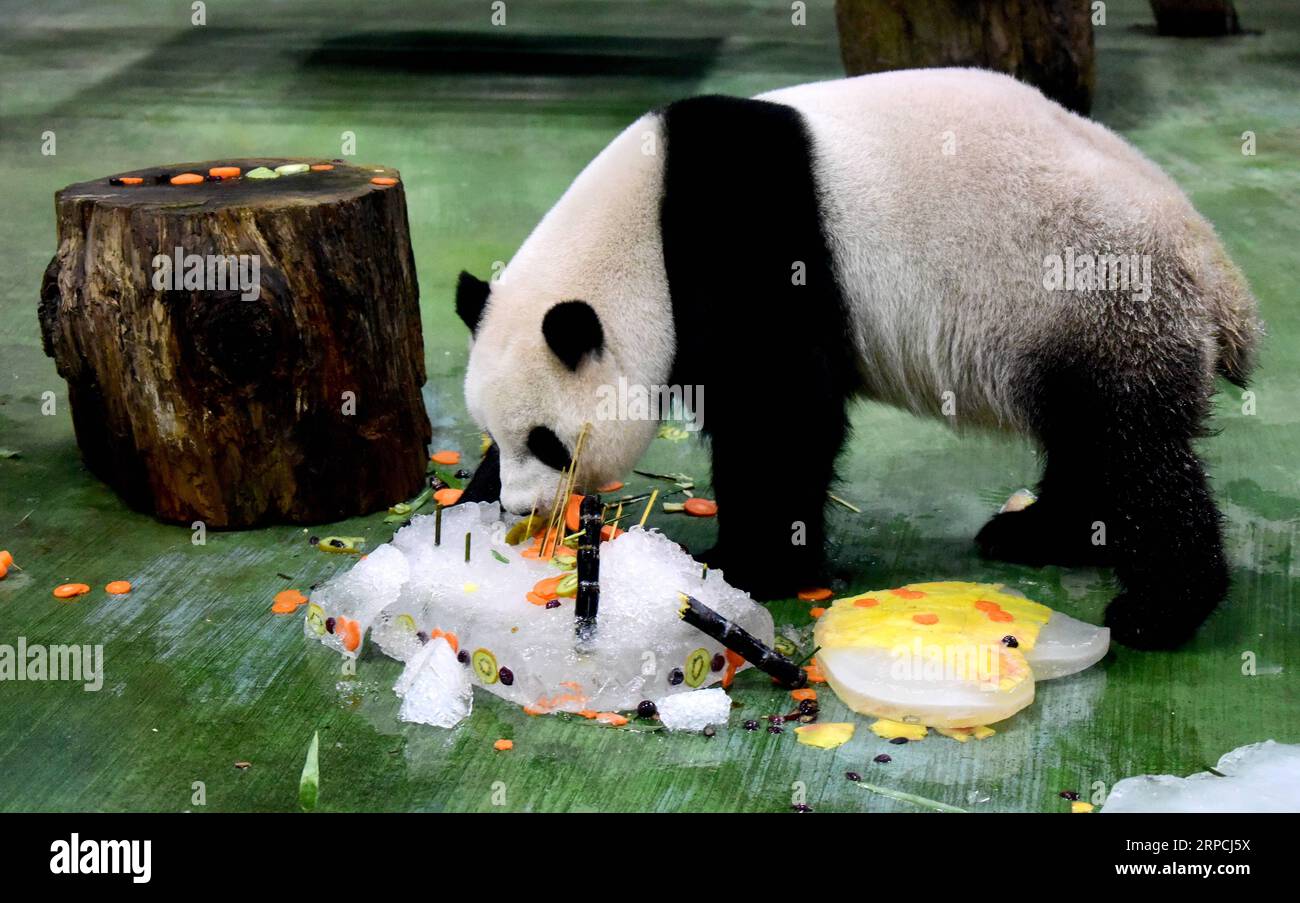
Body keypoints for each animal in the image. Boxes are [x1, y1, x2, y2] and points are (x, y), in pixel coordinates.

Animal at [455, 68, 1261, 650]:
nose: (521, 510)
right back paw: (1039, 533)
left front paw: (745, 563)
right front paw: (470, 502)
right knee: (1087, 446)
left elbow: (782, 414)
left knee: (1130, 449)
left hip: (1099, 296)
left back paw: (1158, 608)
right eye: (499, 436)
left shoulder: (751, 243)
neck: (639, 234)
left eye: (549, 443)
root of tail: (1216, 271)